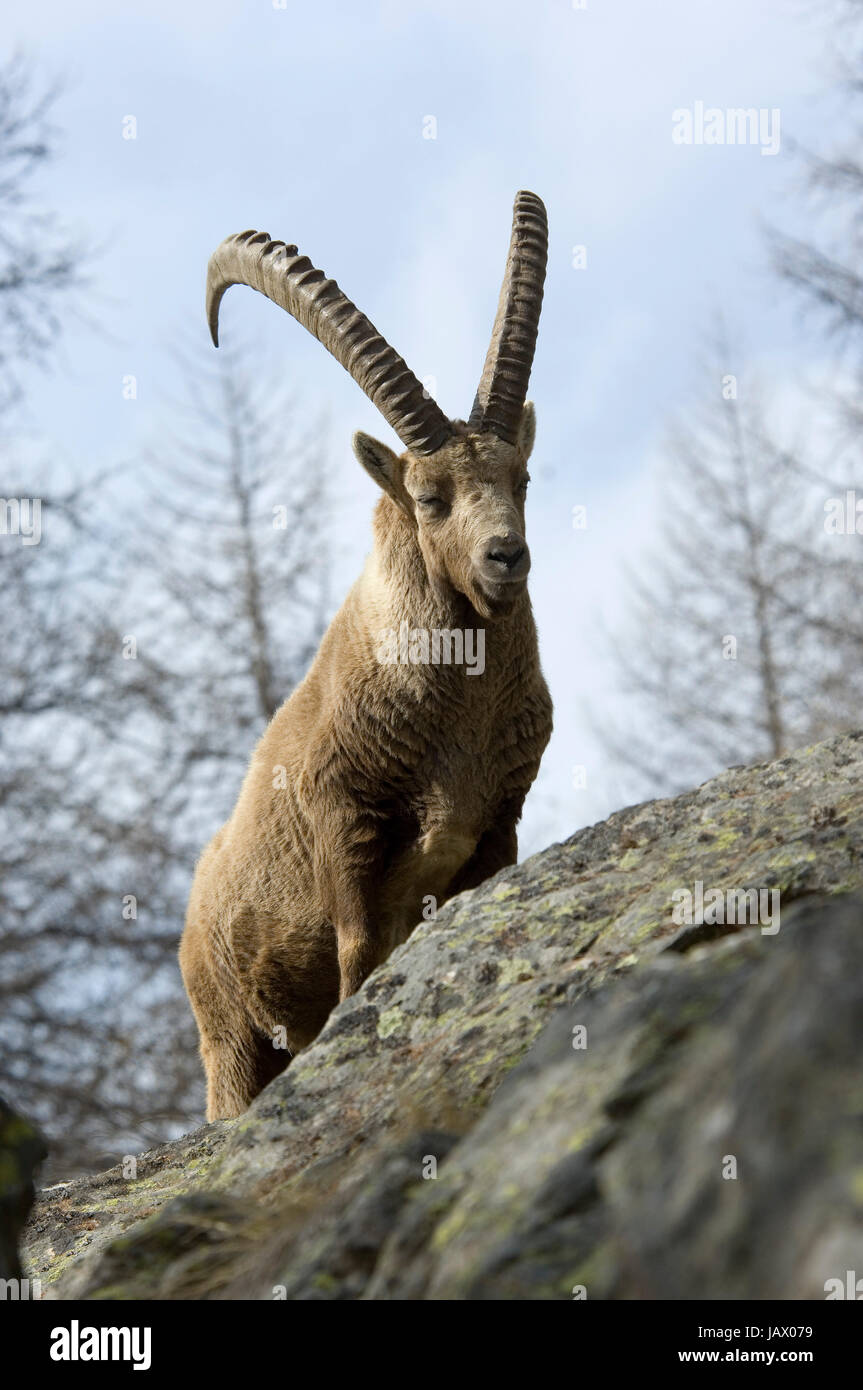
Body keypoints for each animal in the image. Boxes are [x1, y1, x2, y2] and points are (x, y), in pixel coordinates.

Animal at [179, 191, 553, 1120]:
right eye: (428, 496)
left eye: (521, 478)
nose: (504, 556)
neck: (456, 720)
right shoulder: (342, 822)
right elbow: (356, 960)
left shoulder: (498, 821)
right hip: (230, 1041)